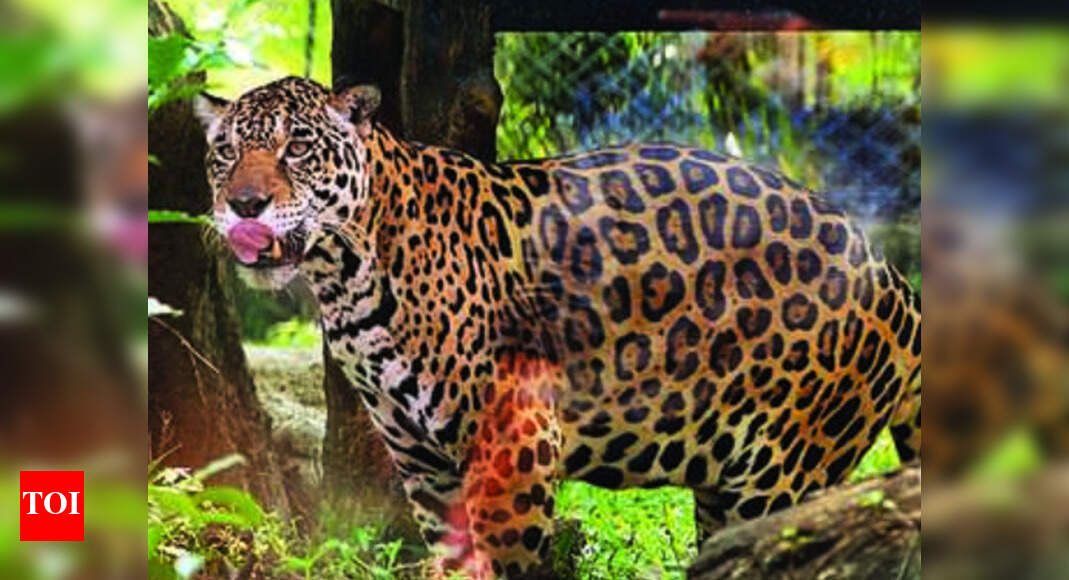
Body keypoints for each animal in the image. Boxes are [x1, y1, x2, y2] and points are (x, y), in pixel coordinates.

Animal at [194, 76, 922, 578]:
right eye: (224, 152)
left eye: (297, 147)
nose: (243, 204)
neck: (346, 278)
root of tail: (896, 280)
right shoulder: (424, 465)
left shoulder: (514, 443)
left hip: (784, 468)